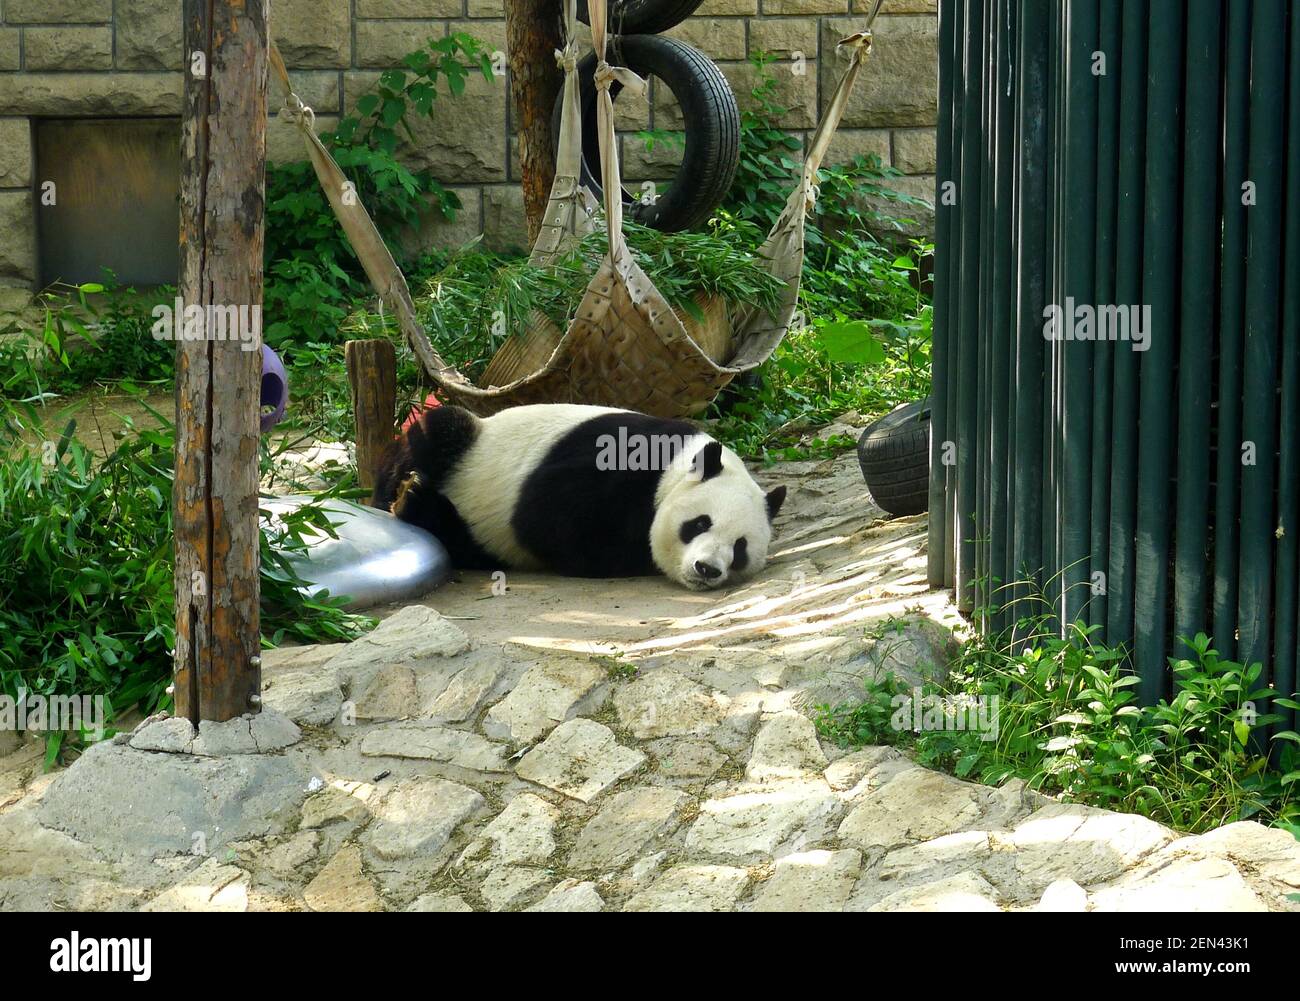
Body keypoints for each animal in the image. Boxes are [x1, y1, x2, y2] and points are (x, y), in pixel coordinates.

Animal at [371, 403, 786, 590]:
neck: (677, 465)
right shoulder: (618, 459)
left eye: (740, 548)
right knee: (437, 431)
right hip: (468, 446)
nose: (707, 569)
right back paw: (410, 497)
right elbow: (547, 518)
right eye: (700, 523)